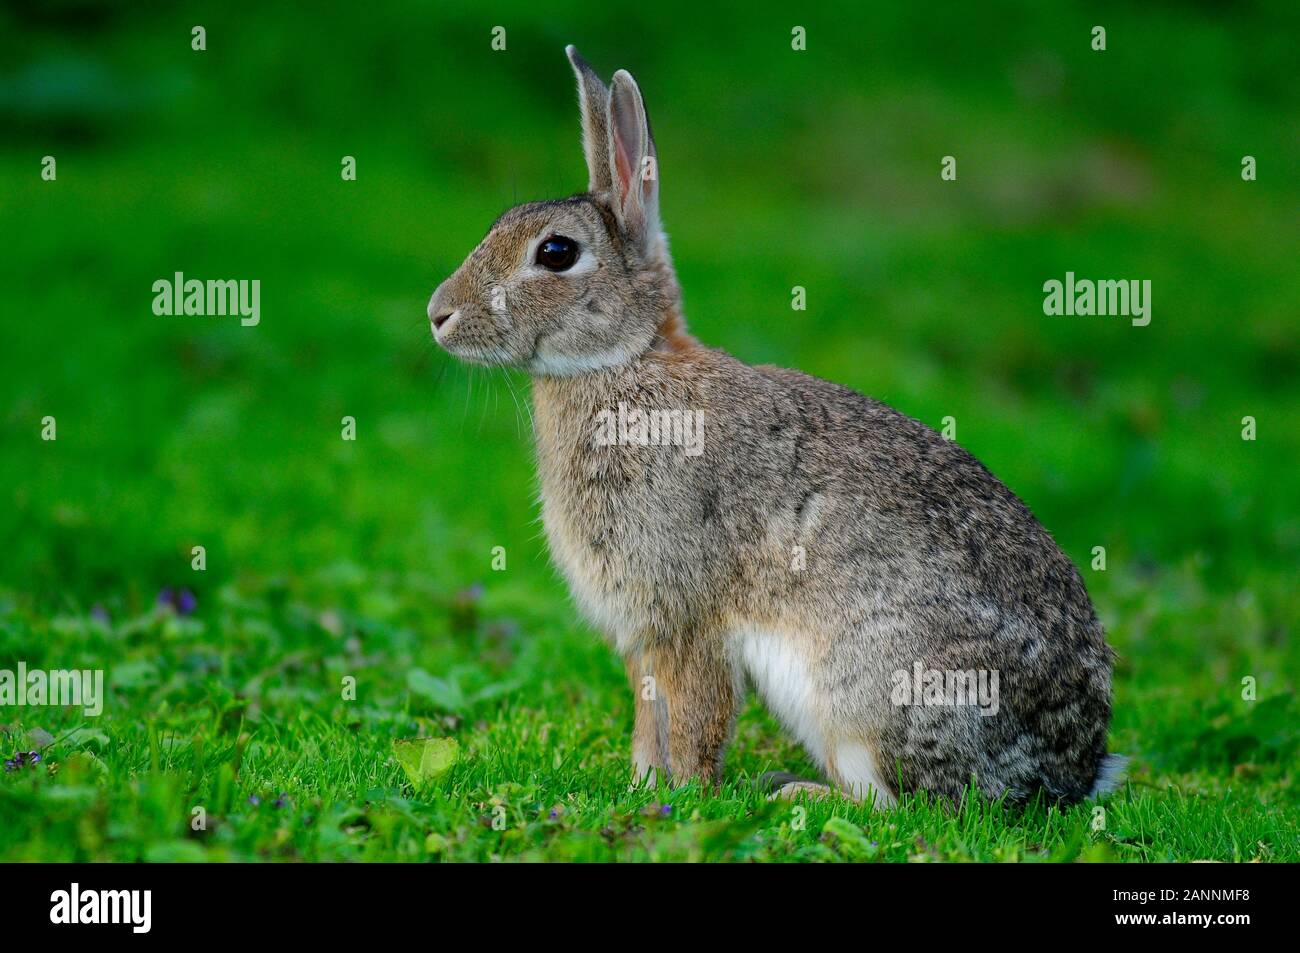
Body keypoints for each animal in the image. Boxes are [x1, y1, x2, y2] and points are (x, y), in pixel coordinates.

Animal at [427, 45, 1125, 807]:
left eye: (555, 253)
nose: (438, 314)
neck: (626, 364)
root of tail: (1068, 773)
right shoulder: (646, 636)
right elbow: (648, 717)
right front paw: (643, 789)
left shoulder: (691, 621)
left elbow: (693, 718)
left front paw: (686, 796)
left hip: (868, 695)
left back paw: (792, 792)